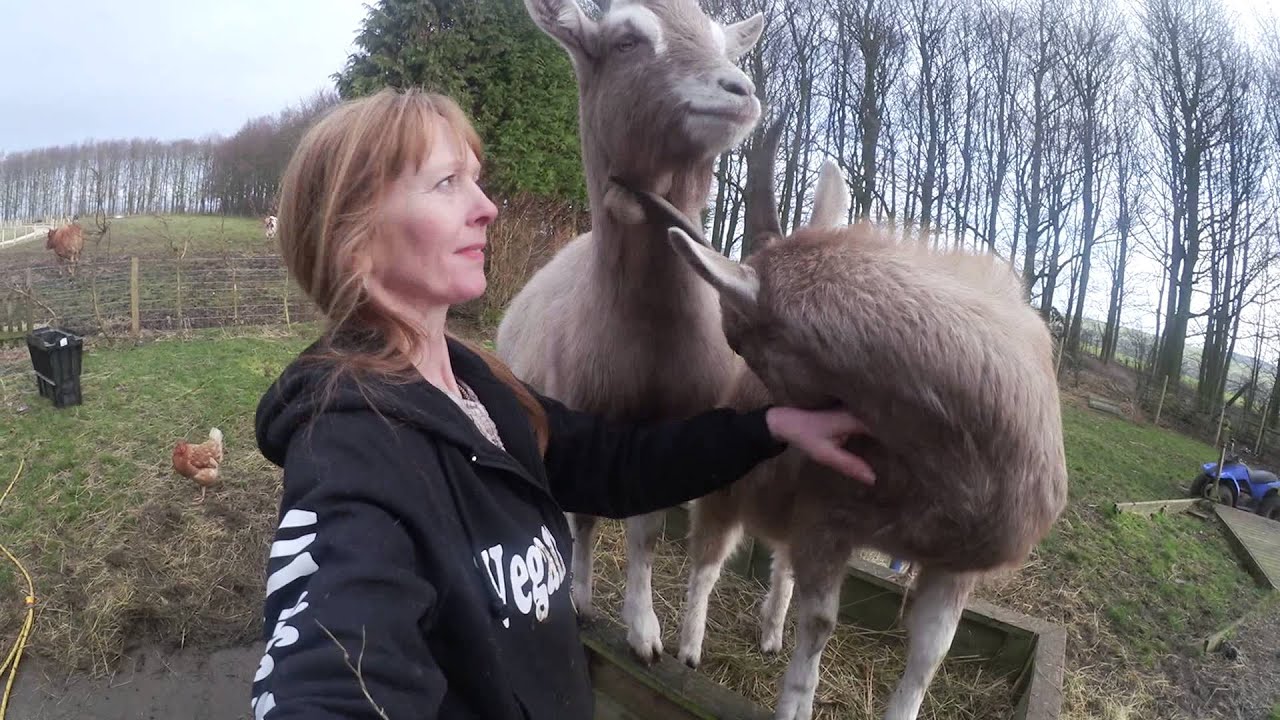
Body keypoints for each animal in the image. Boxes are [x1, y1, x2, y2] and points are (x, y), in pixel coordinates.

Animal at [496, 0, 765, 661]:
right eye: (625, 41)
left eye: (723, 41)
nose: (740, 91)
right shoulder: (574, 416)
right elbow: (581, 518)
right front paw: (584, 603)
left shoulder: (669, 430)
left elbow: (645, 530)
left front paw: (645, 630)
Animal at [612, 145, 1068, 720]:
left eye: (739, 337)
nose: (754, 405)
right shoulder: (827, 522)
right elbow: (821, 622)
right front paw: (794, 703)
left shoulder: (956, 564)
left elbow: (932, 653)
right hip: (728, 491)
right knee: (708, 557)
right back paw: (690, 646)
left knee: (777, 562)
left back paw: (770, 634)